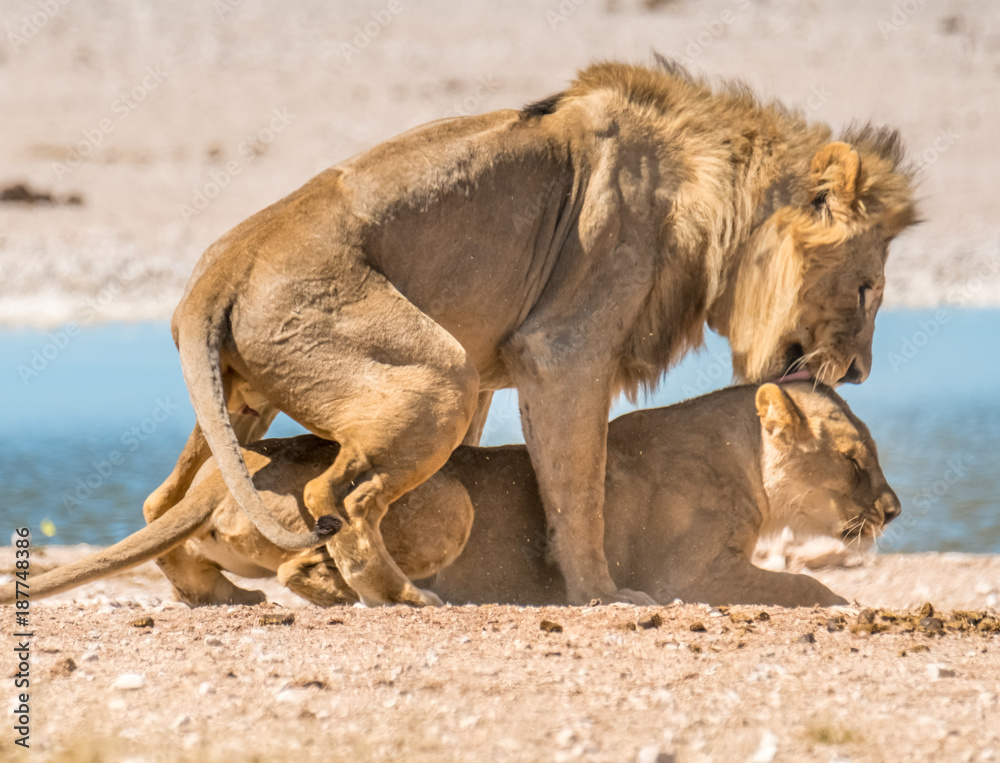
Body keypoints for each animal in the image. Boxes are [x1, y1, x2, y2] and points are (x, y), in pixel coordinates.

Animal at [5, 382, 899, 608]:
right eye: (856, 459)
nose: (894, 509)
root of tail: (259, 456)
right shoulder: (693, 574)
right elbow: (805, 585)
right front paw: (844, 602)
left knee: (166, 527)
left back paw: (218, 592)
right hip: (453, 500)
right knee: (306, 568)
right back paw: (396, 593)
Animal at [147, 57, 916, 607]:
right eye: (866, 287)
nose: (858, 373)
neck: (709, 198)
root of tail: (222, 269)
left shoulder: (495, 372)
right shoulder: (563, 350)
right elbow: (578, 486)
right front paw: (602, 594)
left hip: (247, 403)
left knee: (165, 500)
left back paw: (213, 591)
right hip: (438, 373)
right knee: (336, 497)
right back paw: (399, 595)